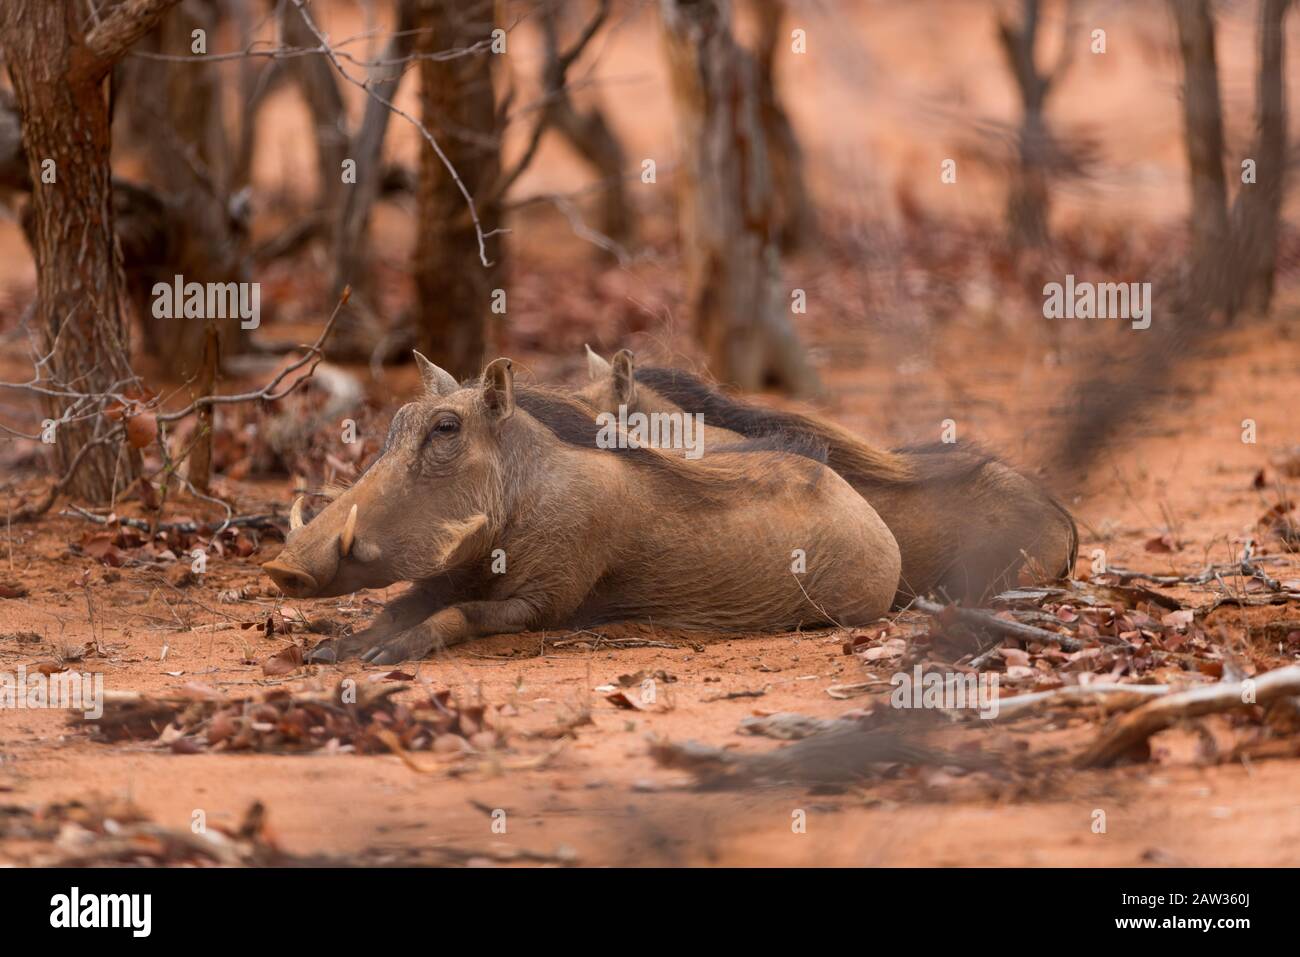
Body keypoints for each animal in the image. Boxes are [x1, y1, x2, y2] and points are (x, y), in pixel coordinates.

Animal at [261, 353, 902, 664]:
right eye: (396, 423)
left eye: (446, 428)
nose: (281, 568)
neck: (524, 497)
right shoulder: (451, 573)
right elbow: (396, 609)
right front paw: (335, 649)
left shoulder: (542, 603)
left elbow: (457, 617)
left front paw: (387, 655)